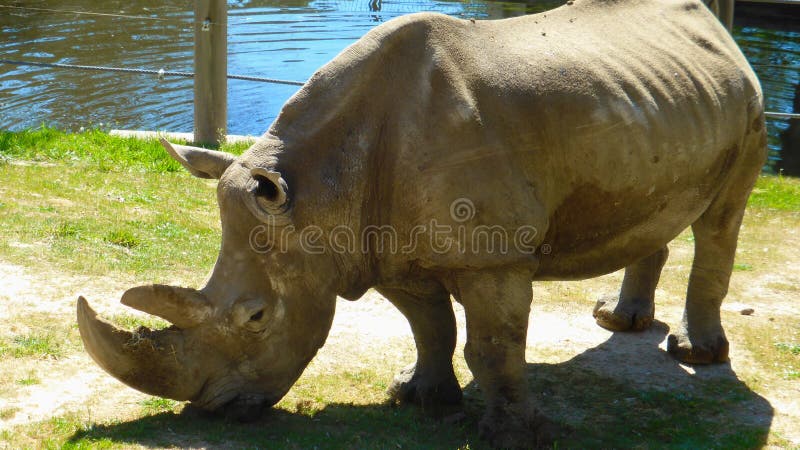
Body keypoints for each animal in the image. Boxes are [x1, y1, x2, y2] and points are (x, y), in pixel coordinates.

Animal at [76, 0, 766, 446]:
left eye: (257, 318)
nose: (211, 410)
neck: (316, 193)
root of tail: (717, 26)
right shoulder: (375, 245)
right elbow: (428, 324)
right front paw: (417, 398)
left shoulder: (492, 257)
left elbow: (493, 344)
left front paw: (514, 436)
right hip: (659, 98)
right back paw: (619, 324)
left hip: (749, 102)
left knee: (721, 220)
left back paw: (698, 355)